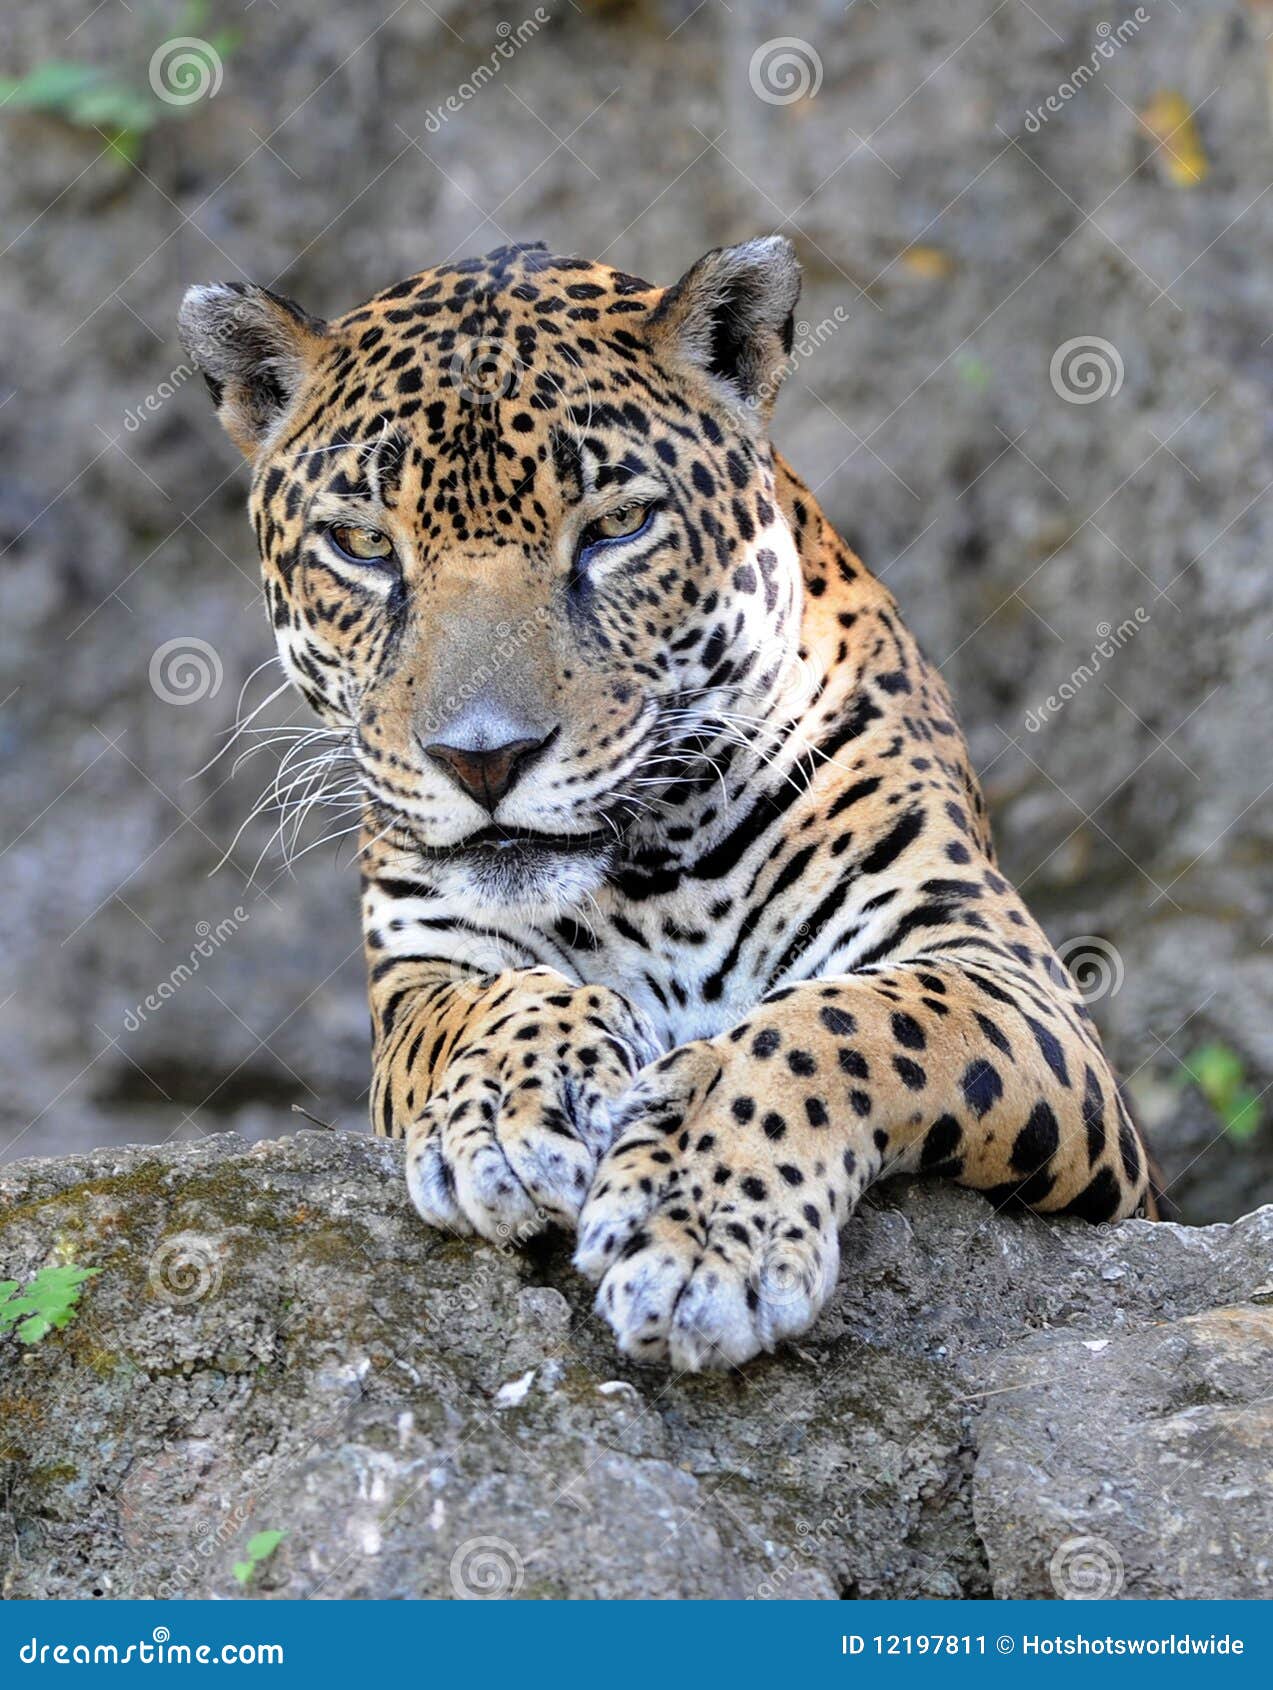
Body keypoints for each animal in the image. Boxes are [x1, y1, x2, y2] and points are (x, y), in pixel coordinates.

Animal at [179, 236, 1161, 1372]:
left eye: (617, 526)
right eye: (364, 545)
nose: (483, 759)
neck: (655, 873)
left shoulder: (1004, 974)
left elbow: (843, 1019)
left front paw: (696, 1215)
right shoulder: (418, 973)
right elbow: (480, 1003)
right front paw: (509, 1112)